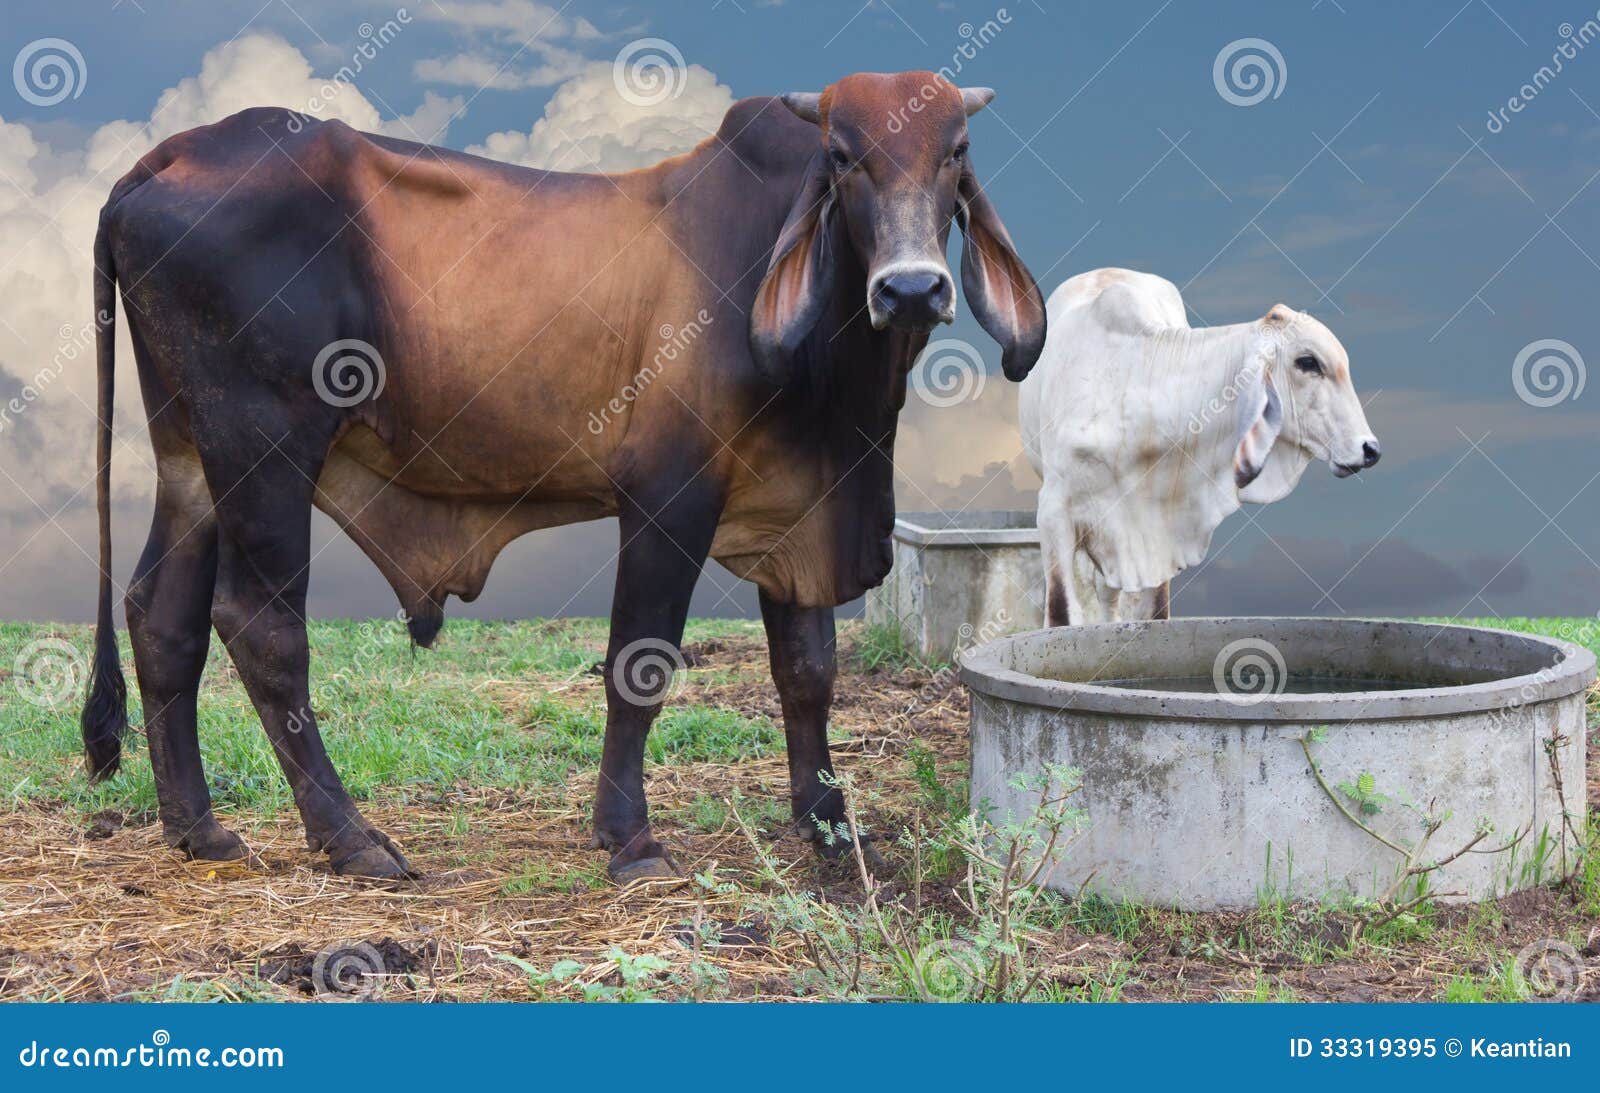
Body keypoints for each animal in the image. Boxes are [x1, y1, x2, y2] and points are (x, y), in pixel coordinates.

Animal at [78, 72, 1047, 883]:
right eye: (844, 157)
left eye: (955, 151)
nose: (913, 289)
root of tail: (166, 158)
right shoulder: (667, 498)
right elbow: (638, 663)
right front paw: (630, 838)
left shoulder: (796, 505)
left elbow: (808, 670)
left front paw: (831, 827)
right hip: (265, 448)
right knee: (262, 627)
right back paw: (350, 837)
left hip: (190, 453)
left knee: (162, 615)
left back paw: (197, 828)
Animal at [1018, 268, 1379, 626]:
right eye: (1307, 362)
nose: (1370, 449)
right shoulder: (1053, 510)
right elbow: (1062, 613)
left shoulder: (1161, 531)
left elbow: (1154, 613)